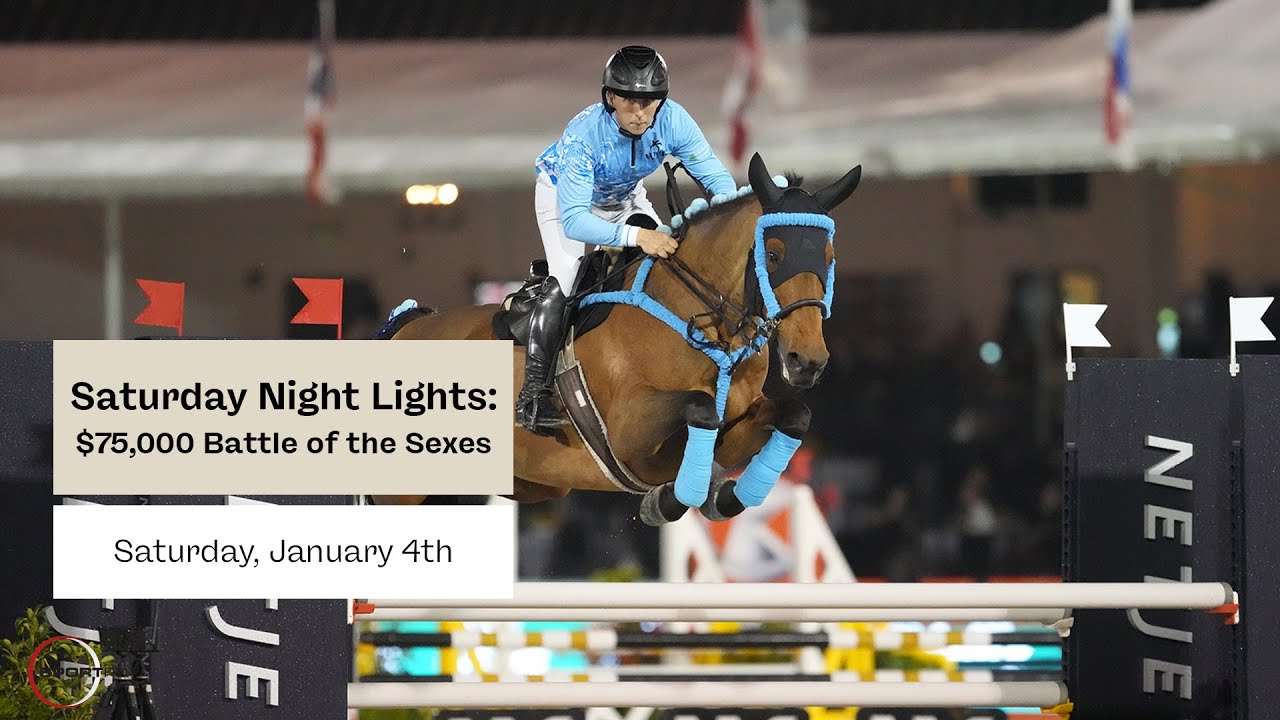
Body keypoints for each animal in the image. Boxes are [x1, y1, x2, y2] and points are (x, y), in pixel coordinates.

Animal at [372, 153, 862, 526]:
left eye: (828, 256)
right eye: (774, 255)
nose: (807, 361)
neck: (706, 323)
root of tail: (406, 326)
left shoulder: (736, 426)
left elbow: (794, 416)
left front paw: (721, 498)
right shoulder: (629, 431)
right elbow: (699, 408)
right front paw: (664, 503)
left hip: (519, 484)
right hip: (401, 491)